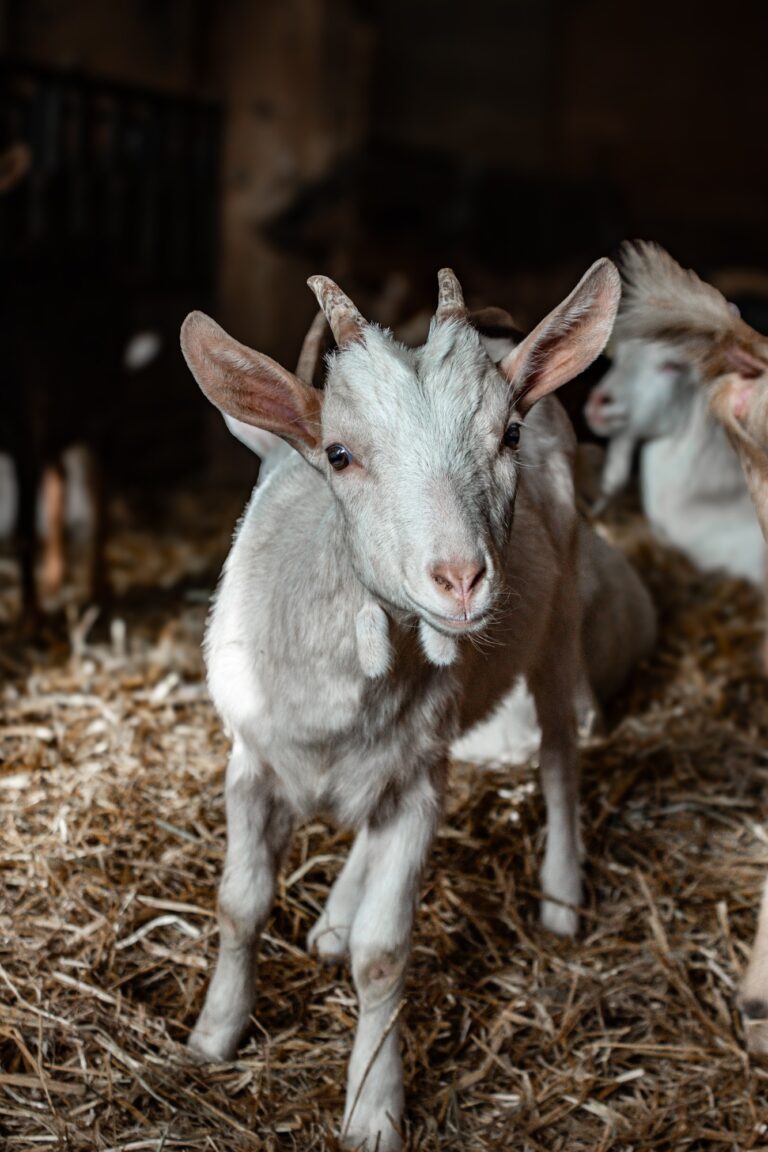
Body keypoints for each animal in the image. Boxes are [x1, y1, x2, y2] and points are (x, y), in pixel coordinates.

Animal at [180, 261, 621, 1149]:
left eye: (507, 436)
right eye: (340, 454)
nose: (461, 578)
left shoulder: (422, 781)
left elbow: (383, 955)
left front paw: (374, 1109)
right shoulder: (253, 762)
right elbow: (238, 905)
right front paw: (214, 1035)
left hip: (557, 618)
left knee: (559, 749)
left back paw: (560, 896)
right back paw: (336, 914)